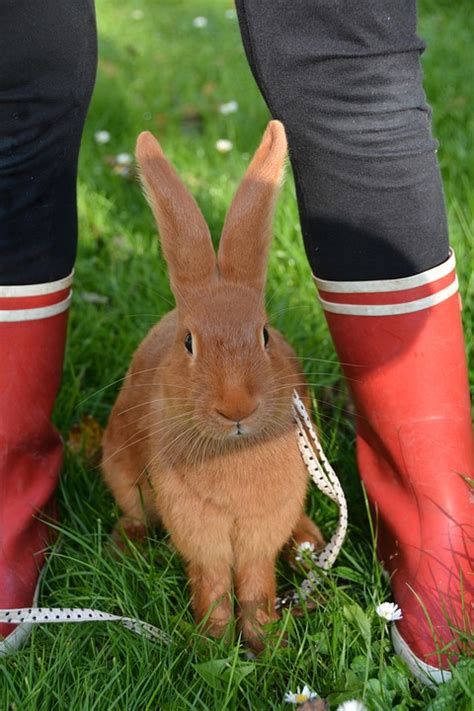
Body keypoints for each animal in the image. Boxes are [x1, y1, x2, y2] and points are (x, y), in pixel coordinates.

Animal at [101, 120, 324, 650]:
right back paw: (124, 547)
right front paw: (215, 642)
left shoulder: (263, 523)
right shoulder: (197, 526)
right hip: (121, 469)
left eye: (265, 335)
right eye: (189, 342)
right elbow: (214, 582)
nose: (236, 407)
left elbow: (257, 580)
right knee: (134, 513)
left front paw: (263, 643)